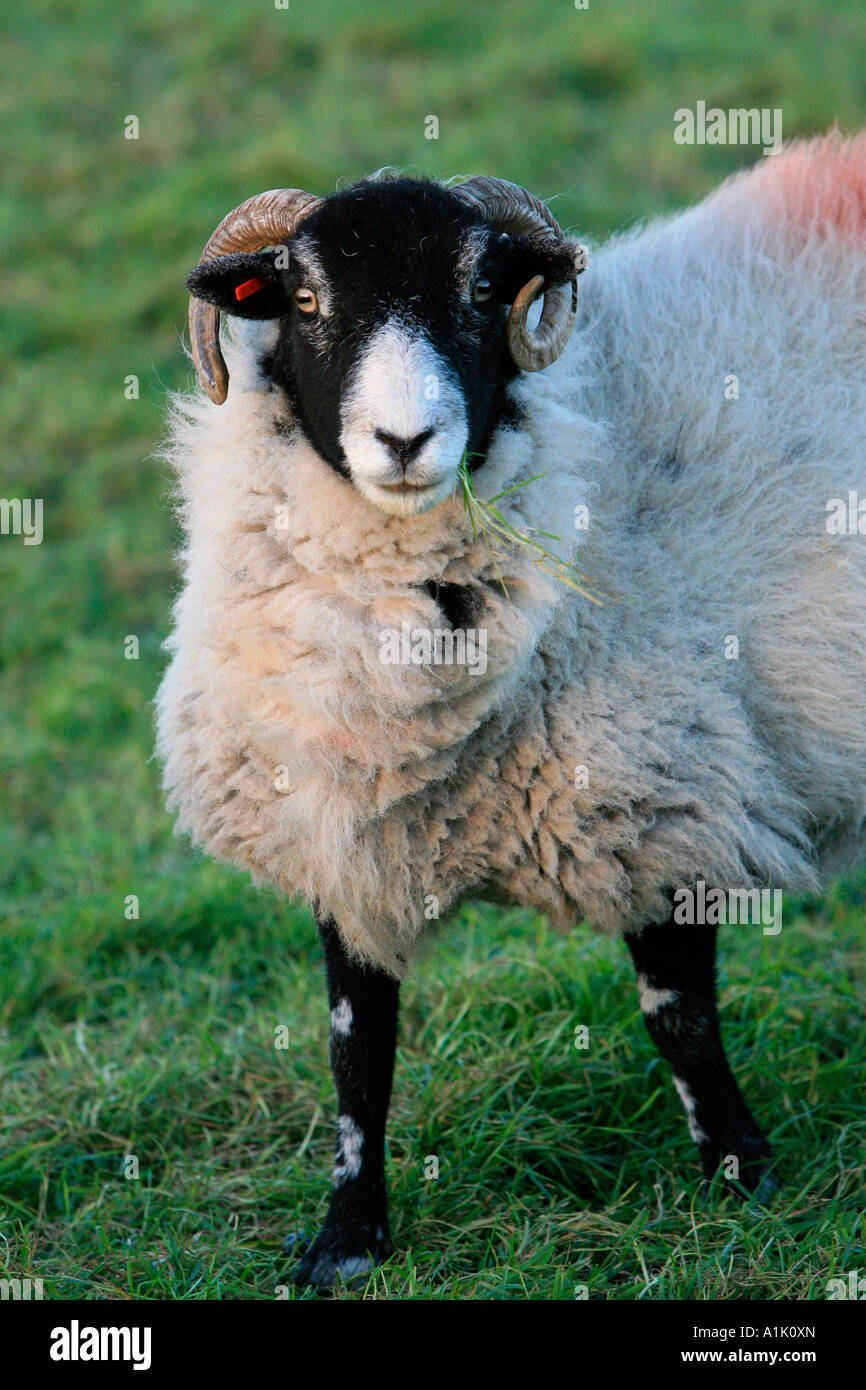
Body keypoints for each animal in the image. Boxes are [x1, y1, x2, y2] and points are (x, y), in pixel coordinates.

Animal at [156, 134, 866, 1288]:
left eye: (484, 291)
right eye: (303, 298)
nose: (405, 439)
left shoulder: (663, 795)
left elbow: (678, 1020)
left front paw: (740, 1172)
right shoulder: (337, 825)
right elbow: (356, 1050)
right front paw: (347, 1237)